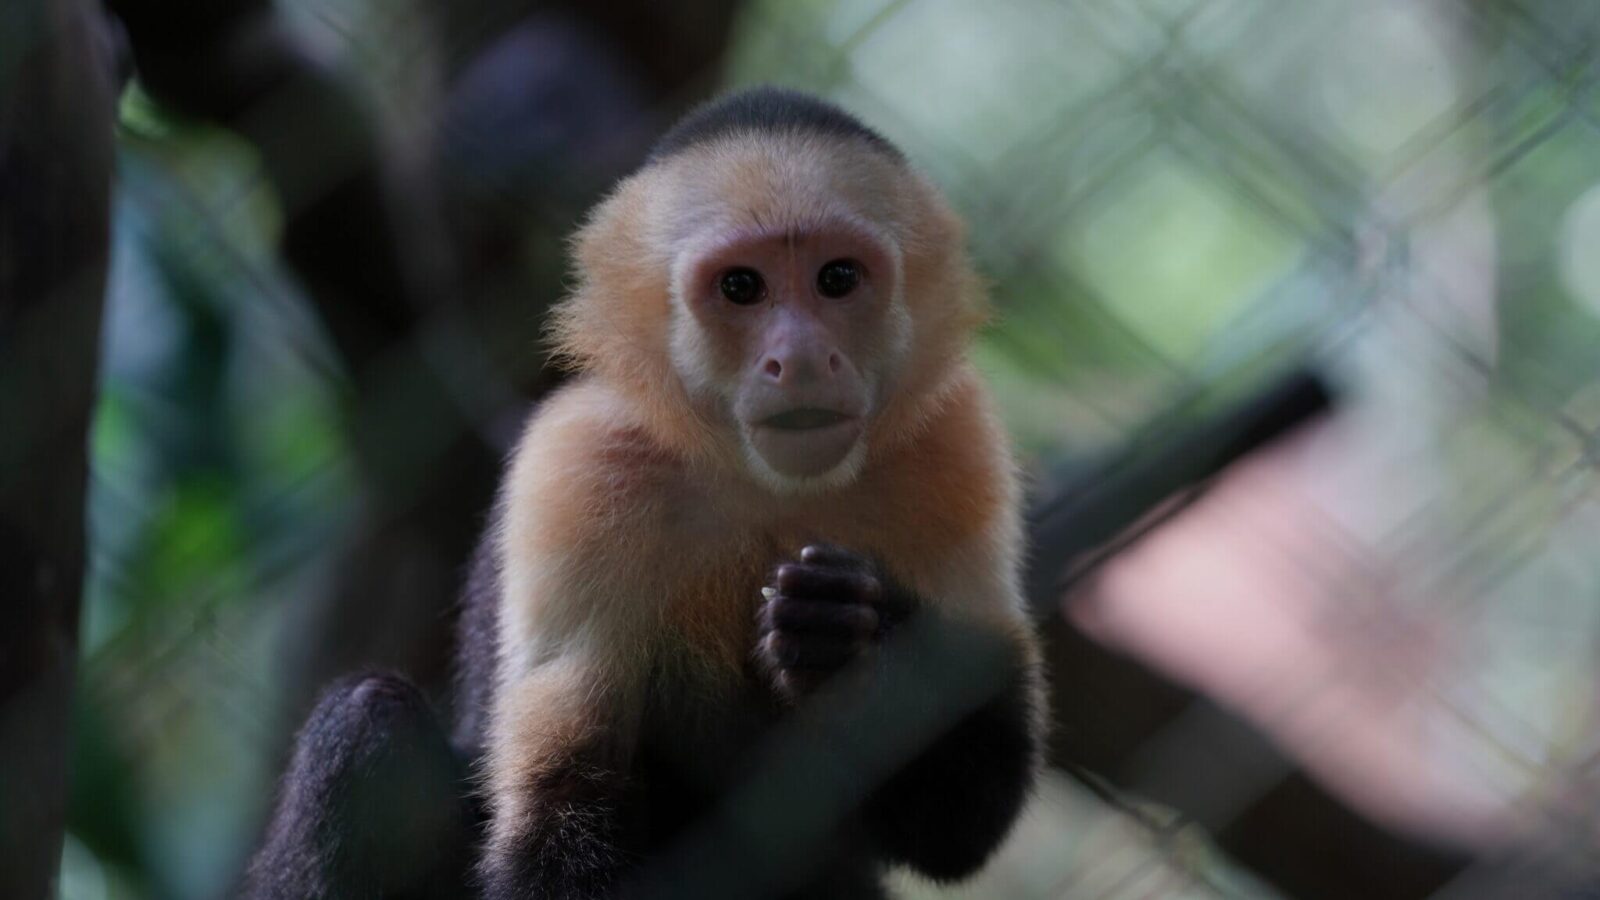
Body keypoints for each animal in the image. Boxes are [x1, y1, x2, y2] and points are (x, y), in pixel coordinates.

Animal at [243, 86, 1043, 900]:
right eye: (741, 287)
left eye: (838, 278)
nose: (800, 358)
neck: (764, 487)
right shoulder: (577, 466)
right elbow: (558, 806)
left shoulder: (956, 448)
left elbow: (961, 827)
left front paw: (852, 636)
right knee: (369, 720)